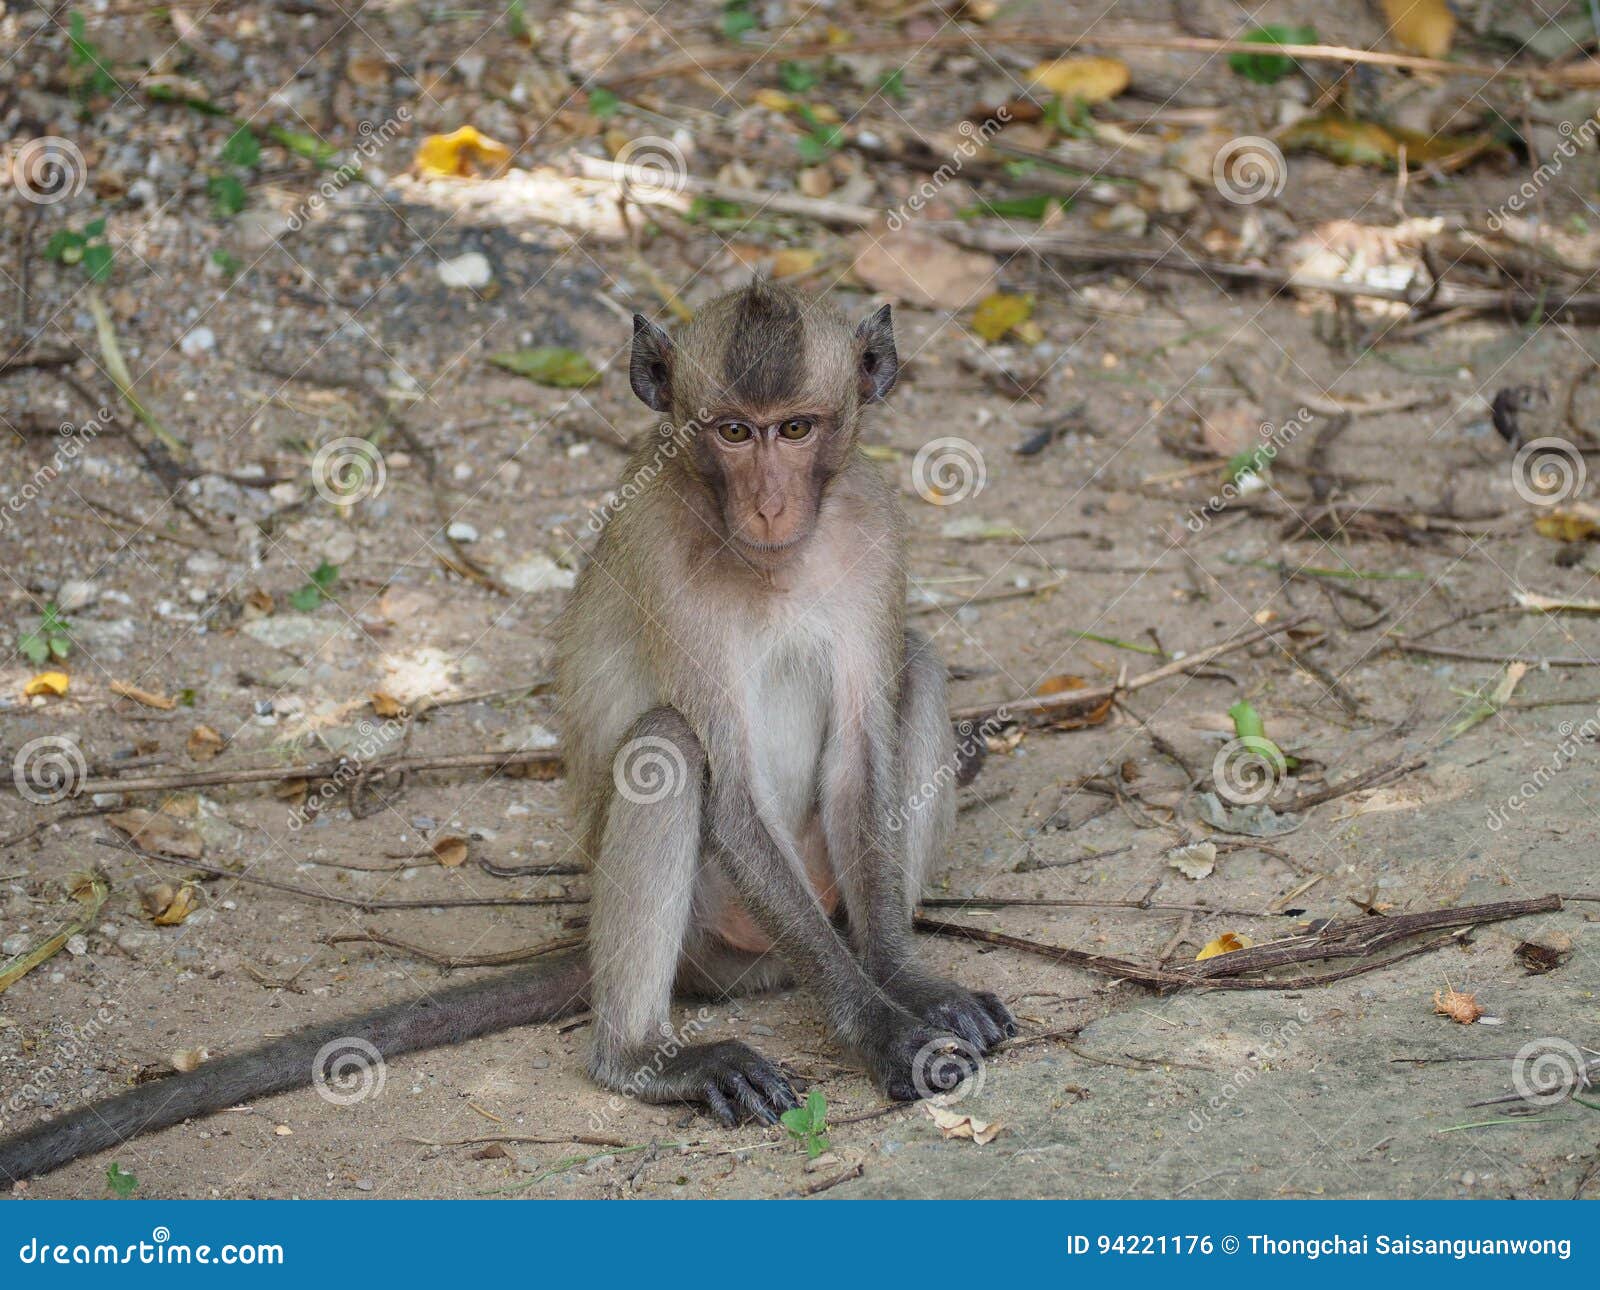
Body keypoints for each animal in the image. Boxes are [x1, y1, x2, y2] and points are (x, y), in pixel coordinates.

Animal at [0, 278, 1011, 1182]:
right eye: (733, 432)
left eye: (795, 429)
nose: (769, 503)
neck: (774, 560)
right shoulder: (661, 552)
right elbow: (717, 773)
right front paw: (879, 1028)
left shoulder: (870, 530)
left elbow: (861, 753)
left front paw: (906, 984)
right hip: (719, 919)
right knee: (668, 746)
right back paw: (642, 1058)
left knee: (915, 664)